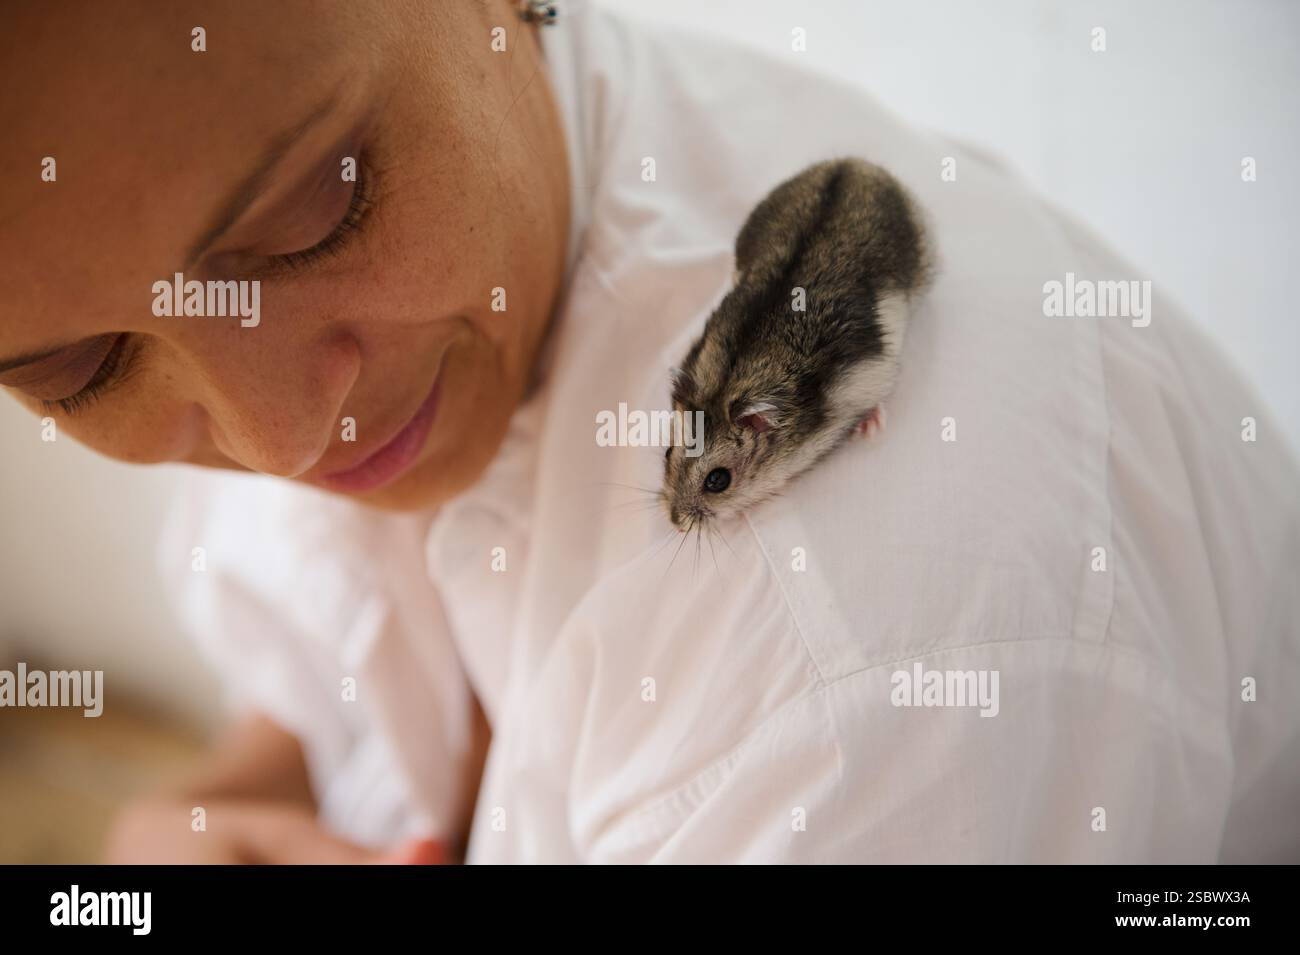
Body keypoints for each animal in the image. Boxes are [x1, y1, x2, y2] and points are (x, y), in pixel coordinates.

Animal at [662, 157, 931, 533]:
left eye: (718, 480)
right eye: (667, 452)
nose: (676, 523)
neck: (734, 379)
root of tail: (855, 162)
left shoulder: (868, 372)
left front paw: (870, 427)